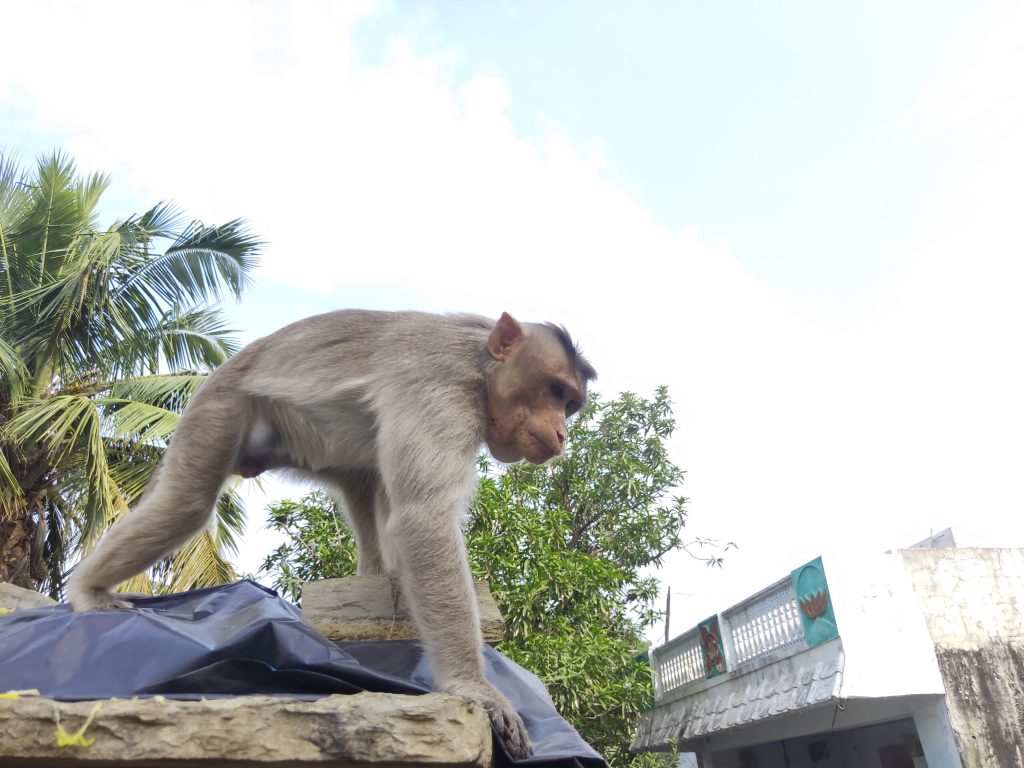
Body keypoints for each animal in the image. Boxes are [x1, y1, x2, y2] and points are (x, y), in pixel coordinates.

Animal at [68, 310, 596, 759]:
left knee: (363, 478)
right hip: (220, 408)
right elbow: (422, 518)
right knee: (187, 503)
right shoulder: (439, 387)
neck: (480, 364)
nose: (561, 435)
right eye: (554, 390)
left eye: (568, 403)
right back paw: (88, 589)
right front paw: (475, 687)